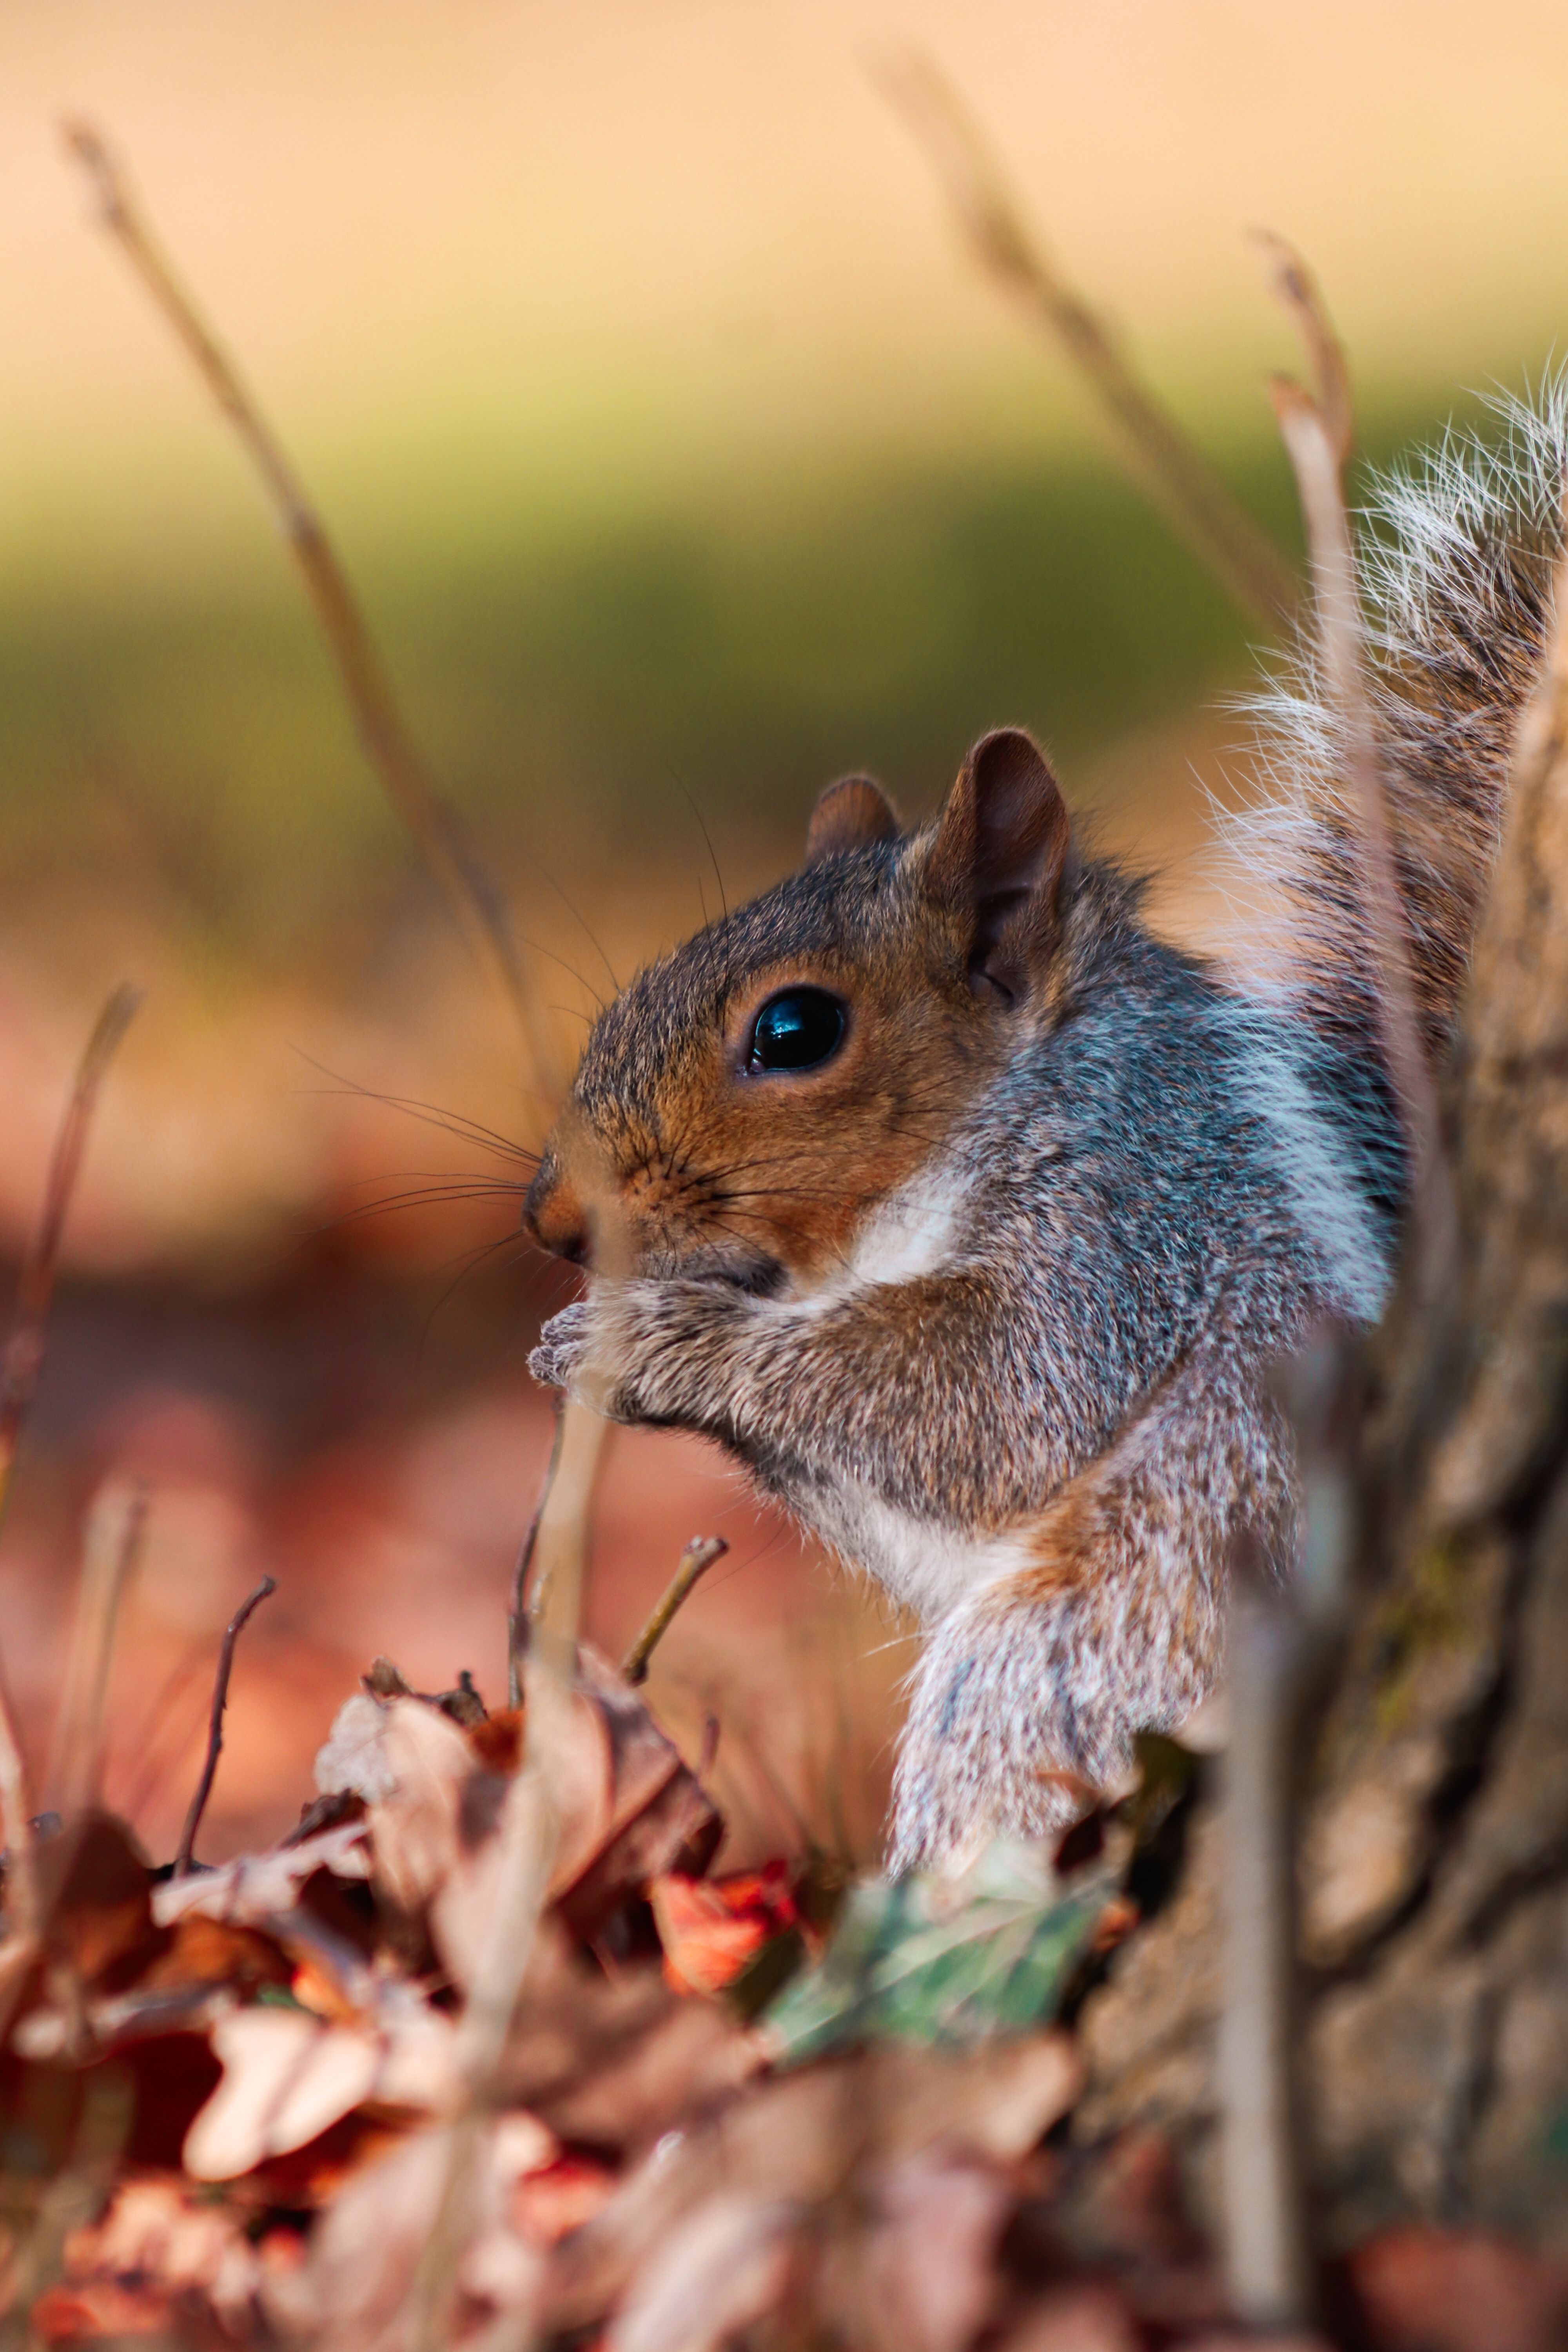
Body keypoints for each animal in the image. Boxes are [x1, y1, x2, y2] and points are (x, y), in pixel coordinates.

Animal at [525, 386, 1562, 1872]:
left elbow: (993, 1397)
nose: (552, 1221)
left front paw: (660, 1337)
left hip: (1070, 1648)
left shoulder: (1134, 1220)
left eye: (794, 1031)